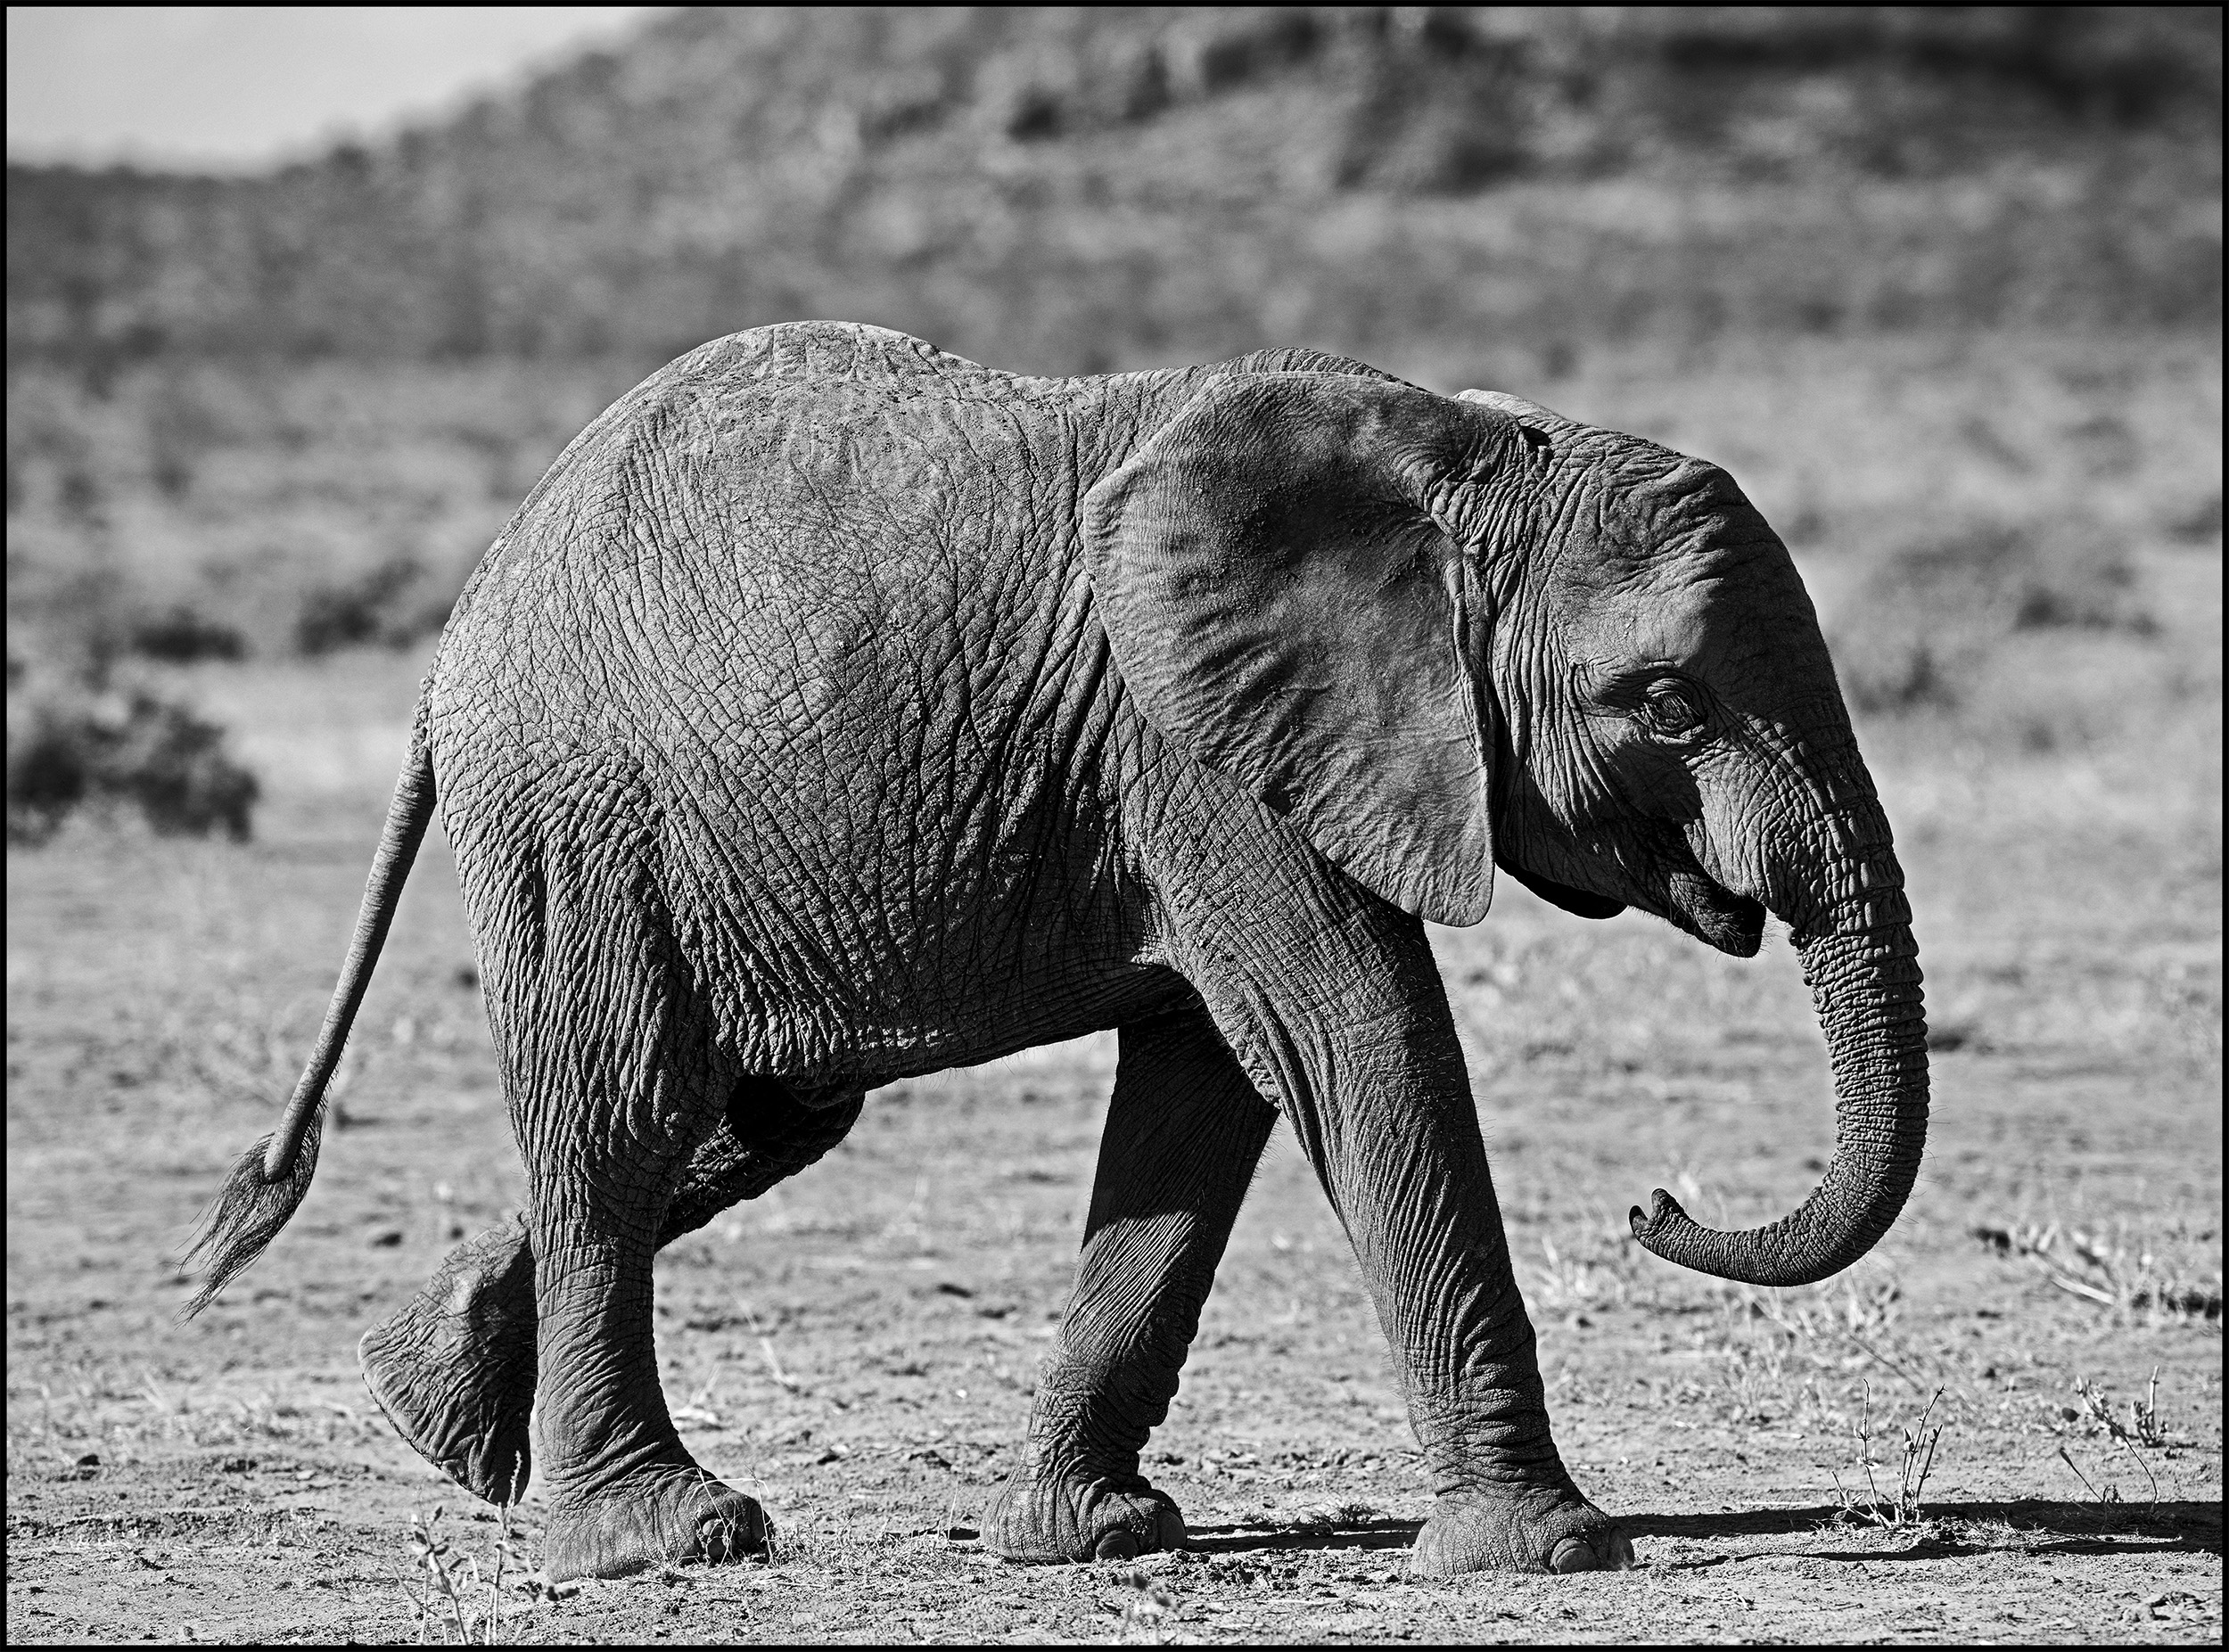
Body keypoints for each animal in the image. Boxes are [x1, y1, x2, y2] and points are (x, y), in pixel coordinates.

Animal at [181, 321, 1927, 1583]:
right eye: (1670, 704)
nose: (1653, 1203)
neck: (1459, 454)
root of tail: (456, 632)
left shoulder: (1207, 763)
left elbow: (1208, 1096)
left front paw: (1087, 1538)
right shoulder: (1203, 754)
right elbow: (1357, 1040)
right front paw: (1550, 1551)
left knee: (754, 1118)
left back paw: (434, 1399)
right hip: (575, 814)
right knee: (622, 1114)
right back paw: (663, 1537)